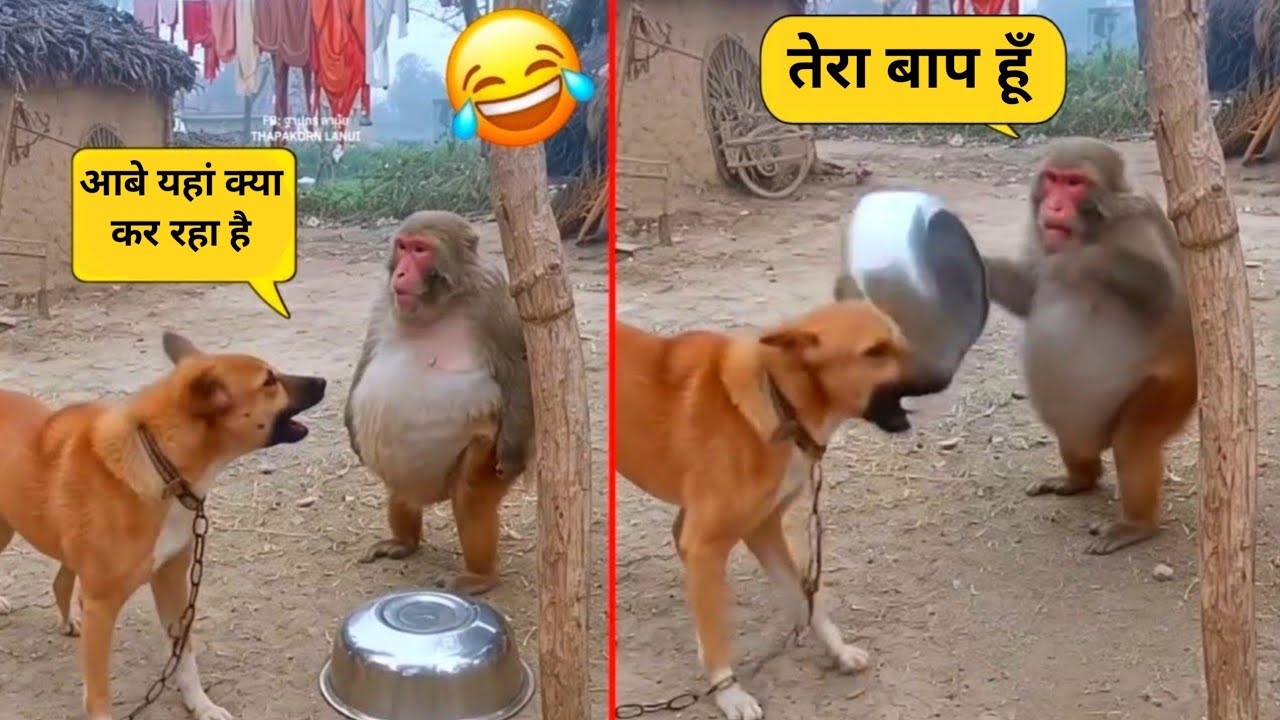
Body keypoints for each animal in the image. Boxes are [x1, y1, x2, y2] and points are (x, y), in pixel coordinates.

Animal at [343, 210, 534, 594]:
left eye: (421, 250)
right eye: (402, 247)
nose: (401, 273)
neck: (441, 303)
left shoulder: (493, 298)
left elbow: (517, 370)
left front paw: (512, 453)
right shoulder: (384, 300)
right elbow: (367, 359)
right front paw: (352, 432)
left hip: (481, 446)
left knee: (471, 496)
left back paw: (480, 576)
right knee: (398, 488)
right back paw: (403, 542)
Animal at [982, 136, 1197, 555]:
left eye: (1075, 183)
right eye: (1053, 179)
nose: (1054, 206)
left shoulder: (1137, 222)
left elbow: (1164, 292)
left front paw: (1084, 259)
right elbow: (1029, 290)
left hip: (1175, 390)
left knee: (1132, 442)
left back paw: (1136, 525)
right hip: (1081, 420)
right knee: (1075, 439)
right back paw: (1078, 479)